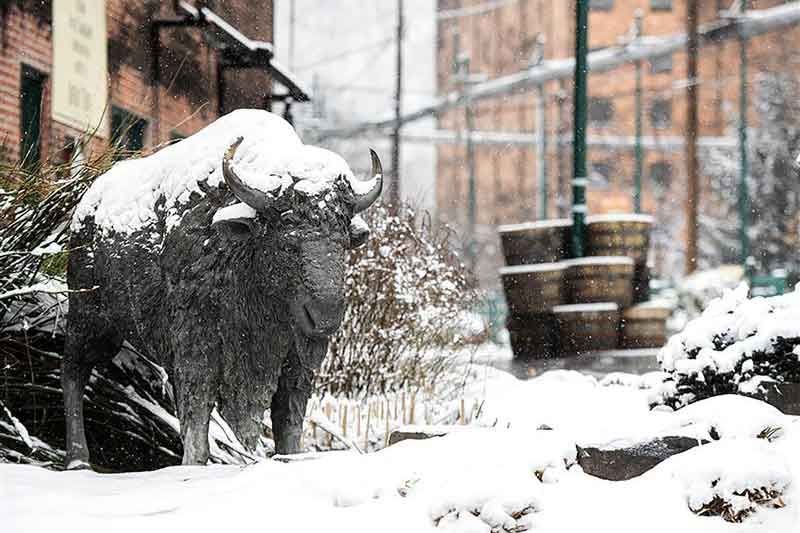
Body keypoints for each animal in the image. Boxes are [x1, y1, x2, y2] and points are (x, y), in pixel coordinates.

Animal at [62, 110, 383, 469]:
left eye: (343, 242)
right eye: (287, 241)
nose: (324, 317)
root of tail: (86, 209)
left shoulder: (294, 364)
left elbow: (288, 425)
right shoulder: (197, 350)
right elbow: (198, 421)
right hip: (90, 320)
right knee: (72, 370)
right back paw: (78, 460)